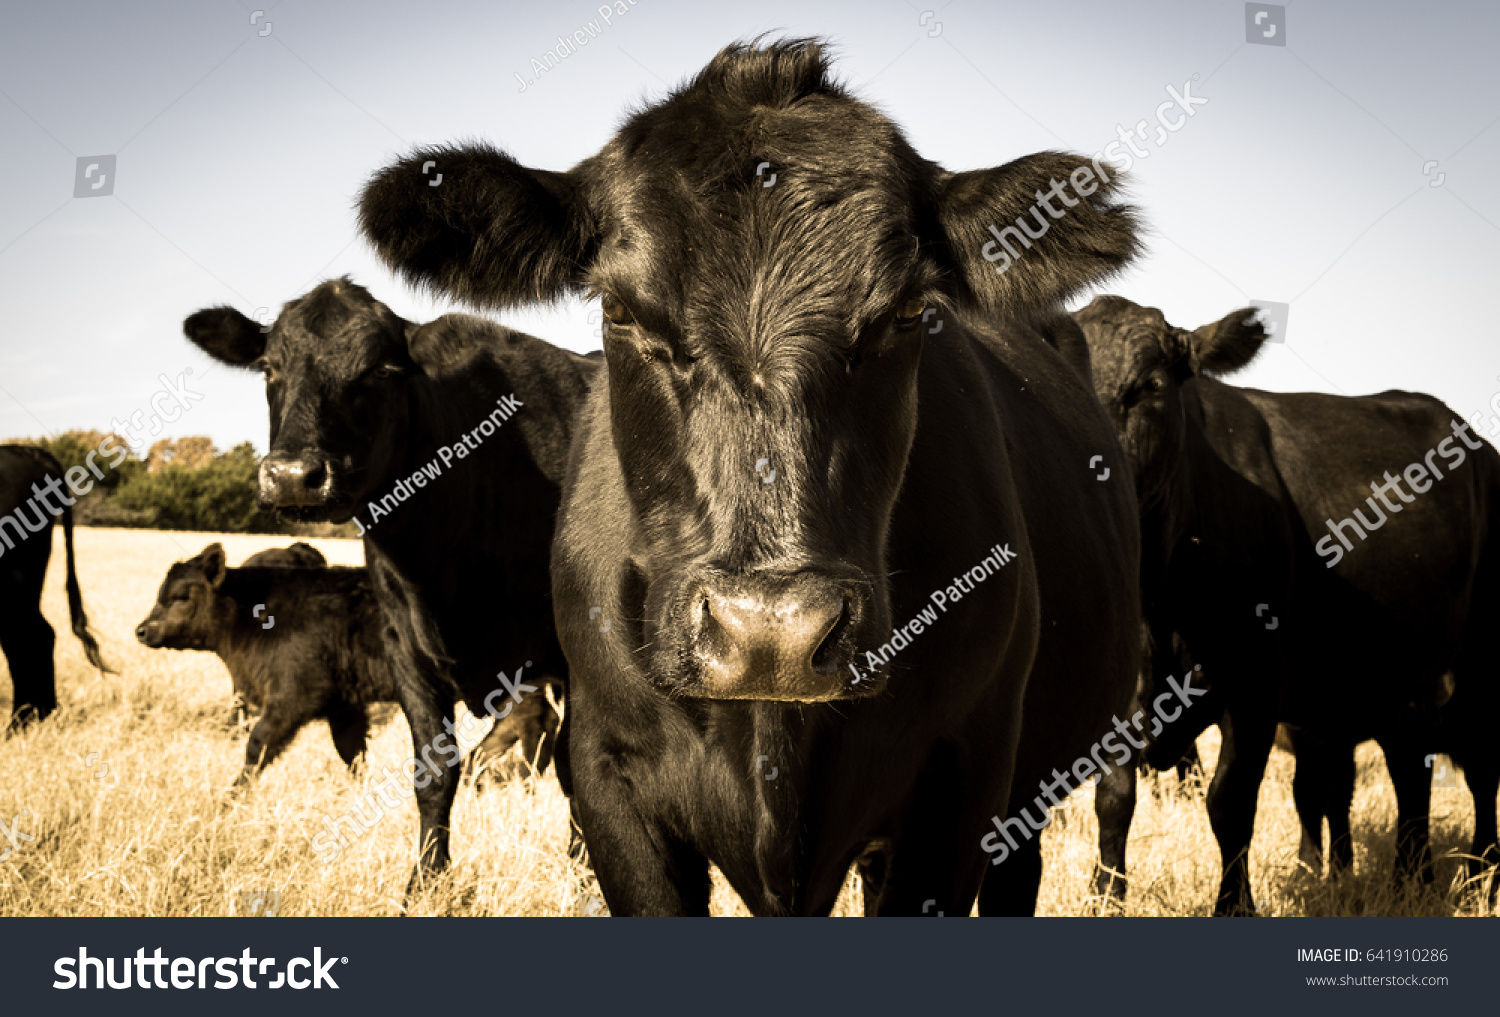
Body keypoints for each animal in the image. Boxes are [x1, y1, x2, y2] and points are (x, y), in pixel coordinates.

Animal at [182, 279, 597, 892]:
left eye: (379, 370)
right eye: (269, 368)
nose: (293, 477)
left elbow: (578, 766)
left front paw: (587, 872)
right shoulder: (407, 649)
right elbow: (435, 771)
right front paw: (425, 881)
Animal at [1074, 294, 1500, 914]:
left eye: (1149, 386)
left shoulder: (1256, 680)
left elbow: (1230, 801)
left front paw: (1235, 905)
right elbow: (1114, 799)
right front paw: (1104, 896)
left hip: (1480, 665)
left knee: (1481, 770)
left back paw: (1481, 875)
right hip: (1399, 679)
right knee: (1409, 768)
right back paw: (1411, 880)